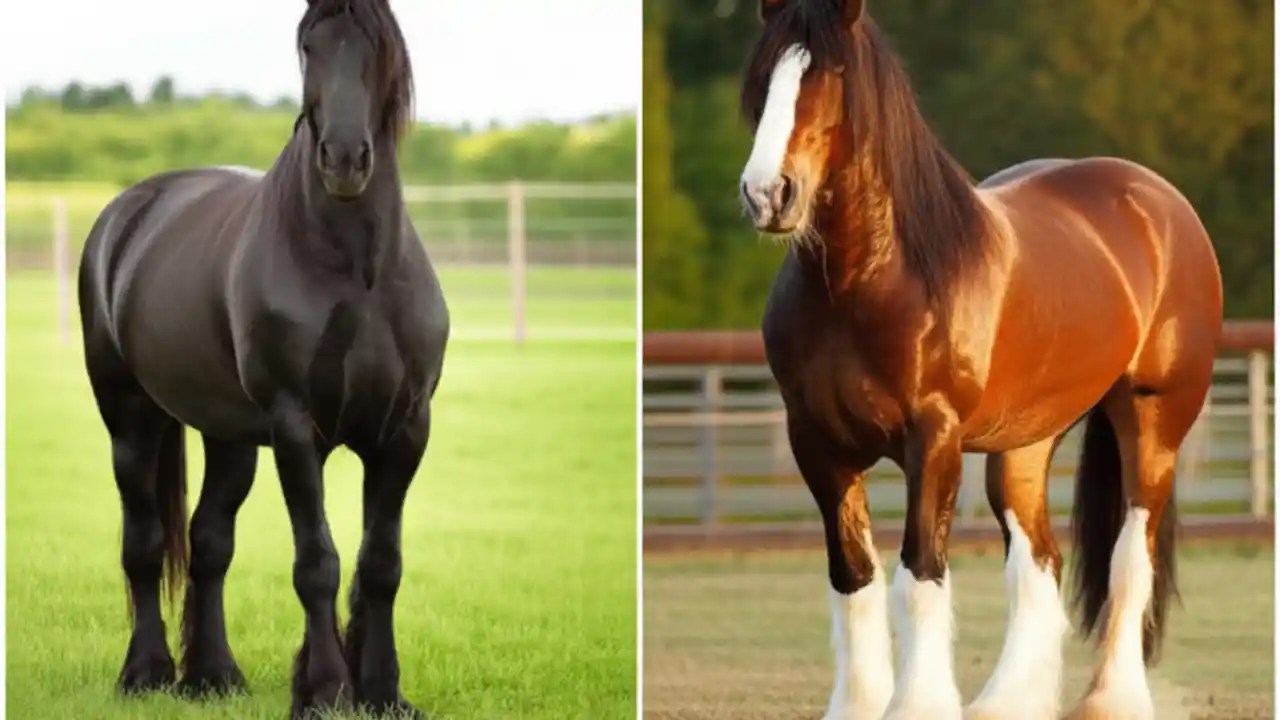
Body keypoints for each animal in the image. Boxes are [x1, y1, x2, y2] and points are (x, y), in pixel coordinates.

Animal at [77, 1, 447, 717]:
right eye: (308, 47)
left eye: (378, 46)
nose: (344, 160)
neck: (356, 271)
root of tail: (128, 211)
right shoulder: (297, 428)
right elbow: (318, 564)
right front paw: (326, 690)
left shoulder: (405, 429)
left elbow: (381, 564)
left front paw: (384, 692)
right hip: (129, 418)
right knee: (144, 543)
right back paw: (145, 672)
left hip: (229, 437)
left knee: (208, 542)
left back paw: (214, 676)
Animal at [737, 1, 1222, 718]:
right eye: (764, 73)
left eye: (832, 74)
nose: (769, 194)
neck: (866, 280)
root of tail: (1158, 200)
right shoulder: (817, 441)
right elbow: (853, 578)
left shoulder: (933, 439)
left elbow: (919, 575)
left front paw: (915, 704)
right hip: (1025, 445)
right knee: (1038, 564)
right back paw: (1005, 702)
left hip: (1154, 422)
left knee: (1130, 558)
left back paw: (1110, 699)